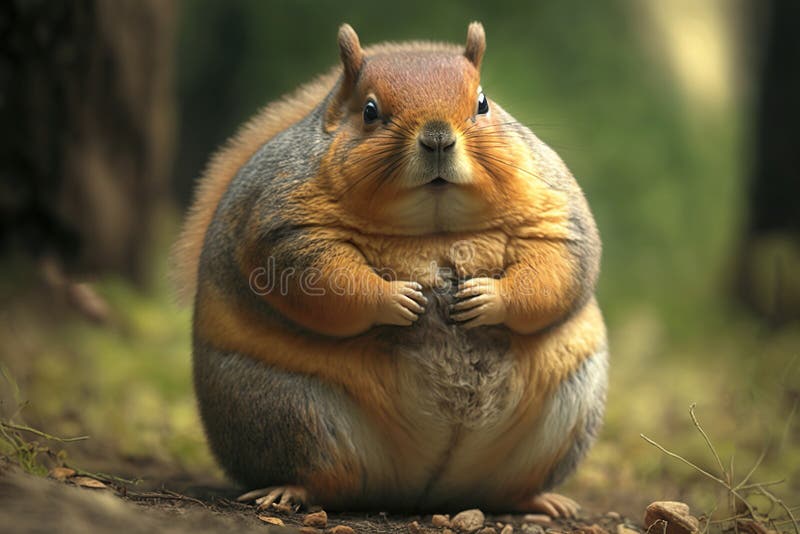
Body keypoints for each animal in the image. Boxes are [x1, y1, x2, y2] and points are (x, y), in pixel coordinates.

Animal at [173, 22, 607, 515]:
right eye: (369, 111)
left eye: (482, 103)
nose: (438, 137)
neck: (435, 221)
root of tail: (421, 489)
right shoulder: (283, 222)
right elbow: (320, 277)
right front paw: (396, 298)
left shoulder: (556, 213)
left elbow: (559, 267)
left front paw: (488, 299)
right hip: (283, 408)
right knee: (321, 473)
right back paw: (288, 490)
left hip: (570, 409)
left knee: (506, 488)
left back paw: (540, 500)